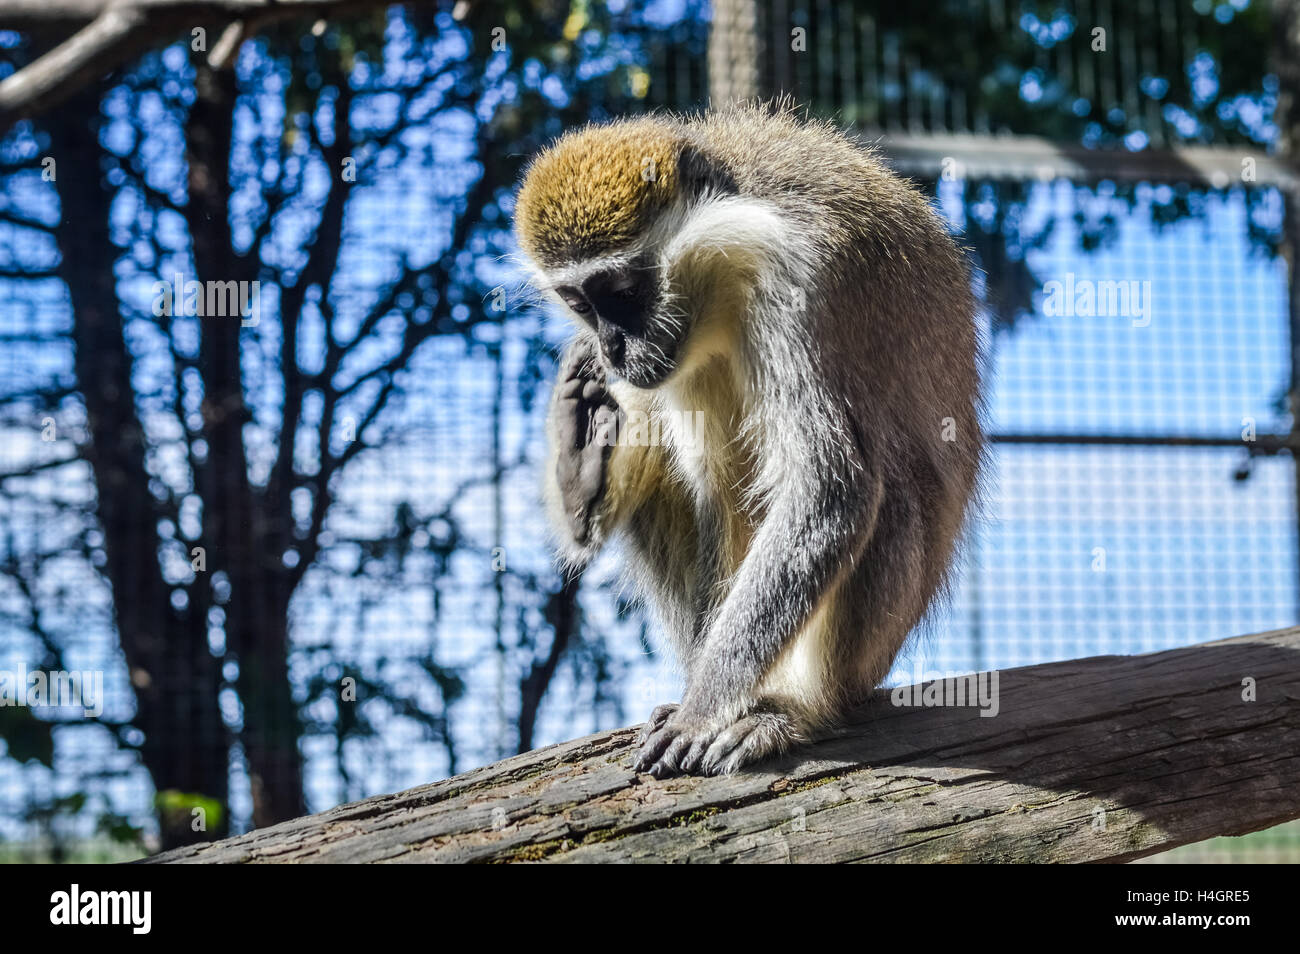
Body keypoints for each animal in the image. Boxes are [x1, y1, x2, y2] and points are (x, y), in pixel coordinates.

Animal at [513, 102, 983, 777]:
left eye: (621, 293)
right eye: (578, 301)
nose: (613, 350)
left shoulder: (797, 282)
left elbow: (829, 488)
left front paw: (703, 708)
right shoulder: (673, 358)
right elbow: (719, 486)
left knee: (884, 489)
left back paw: (800, 709)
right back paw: (586, 464)